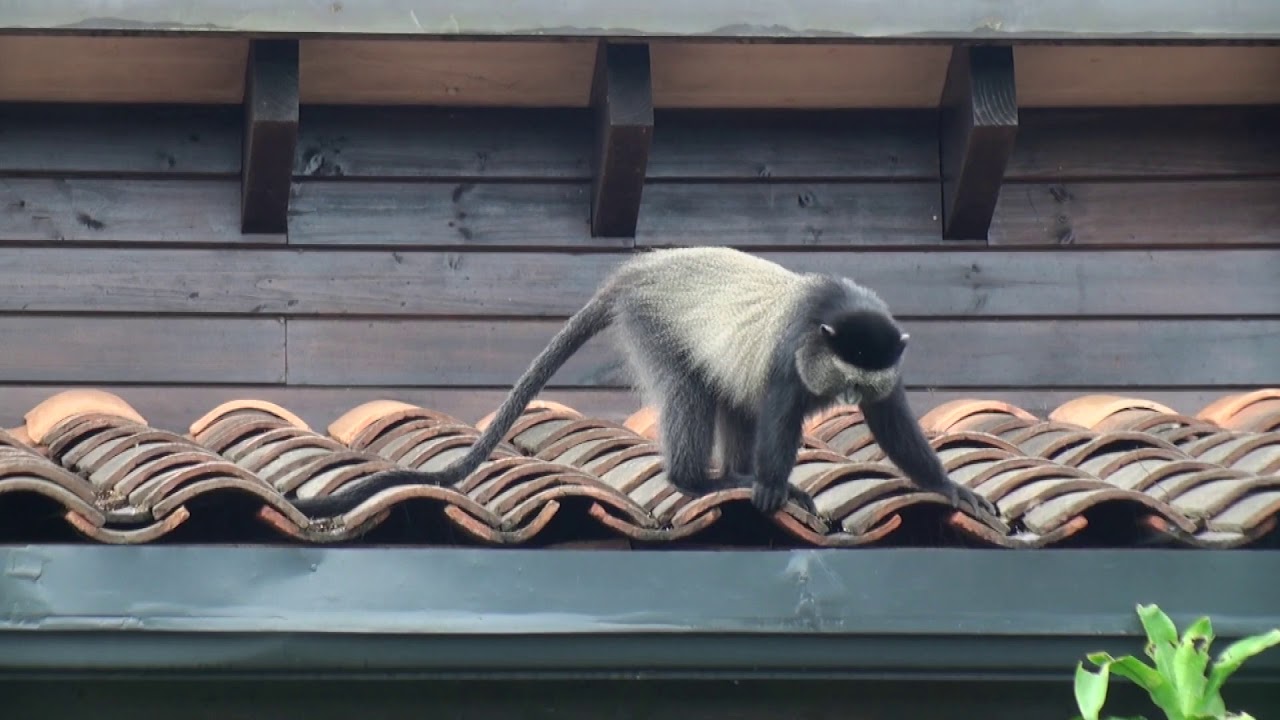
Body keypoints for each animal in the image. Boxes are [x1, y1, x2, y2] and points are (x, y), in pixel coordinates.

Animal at [291, 247, 1001, 527]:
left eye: (863, 379)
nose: (850, 396)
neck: (837, 312)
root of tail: (642, 270)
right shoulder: (794, 349)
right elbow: (779, 409)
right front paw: (774, 488)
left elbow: (892, 423)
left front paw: (949, 488)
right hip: (652, 323)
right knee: (691, 389)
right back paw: (702, 482)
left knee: (725, 394)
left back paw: (730, 476)